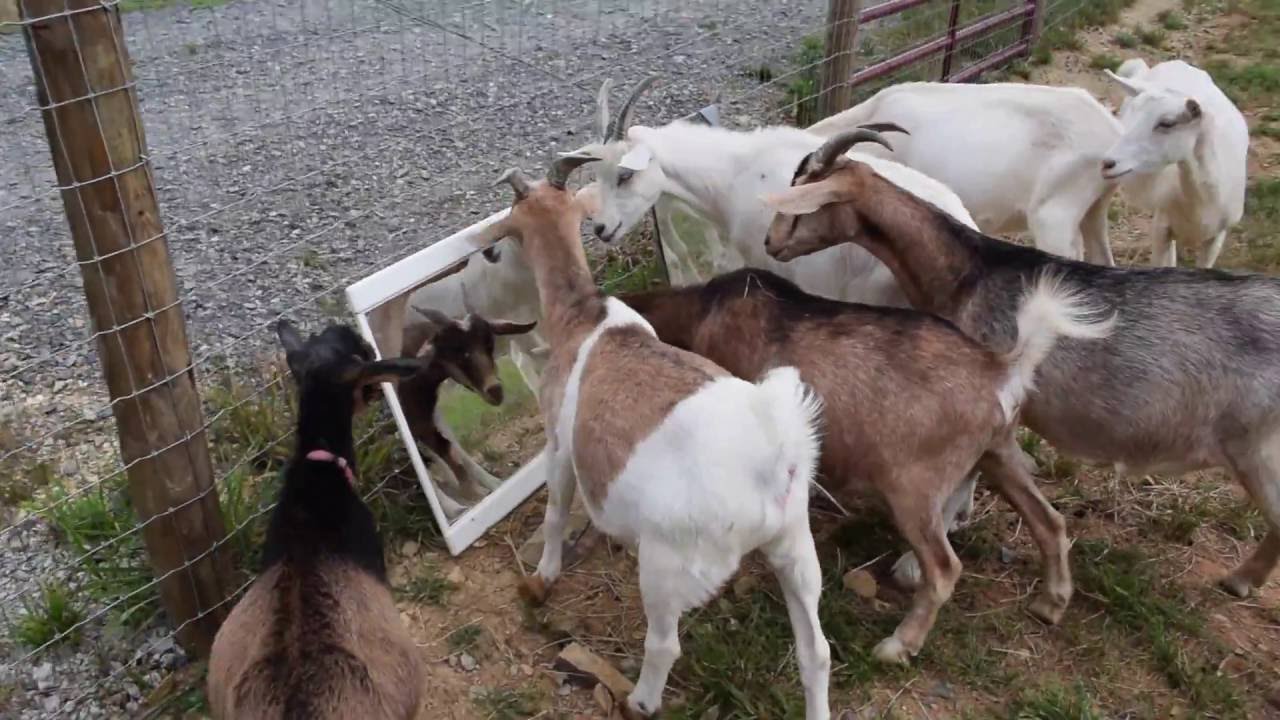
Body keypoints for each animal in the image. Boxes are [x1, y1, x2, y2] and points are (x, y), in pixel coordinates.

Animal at [396, 302, 536, 518]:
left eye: (489, 344)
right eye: (458, 352)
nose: (495, 390)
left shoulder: (425, 416)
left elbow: (449, 446)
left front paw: (490, 485)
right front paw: (454, 507)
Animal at [472, 156, 831, 719]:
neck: (583, 314)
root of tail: (770, 455)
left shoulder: (559, 444)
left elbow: (554, 512)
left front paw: (543, 578)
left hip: (667, 562)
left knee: (665, 643)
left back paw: (637, 700)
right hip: (794, 543)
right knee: (815, 651)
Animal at [618, 267, 1113, 662]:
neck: (705, 315)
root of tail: (1000, 370)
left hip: (914, 487)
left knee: (943, 568)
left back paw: (897, 646)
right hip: (999, 452)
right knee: (1050, 522)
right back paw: (1050, 604)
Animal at [763, 128, 1280, 600]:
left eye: (802, 199)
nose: (771, 242)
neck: (971, 272)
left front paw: (917, 558)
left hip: (1258, 450)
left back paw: (1240, 580)